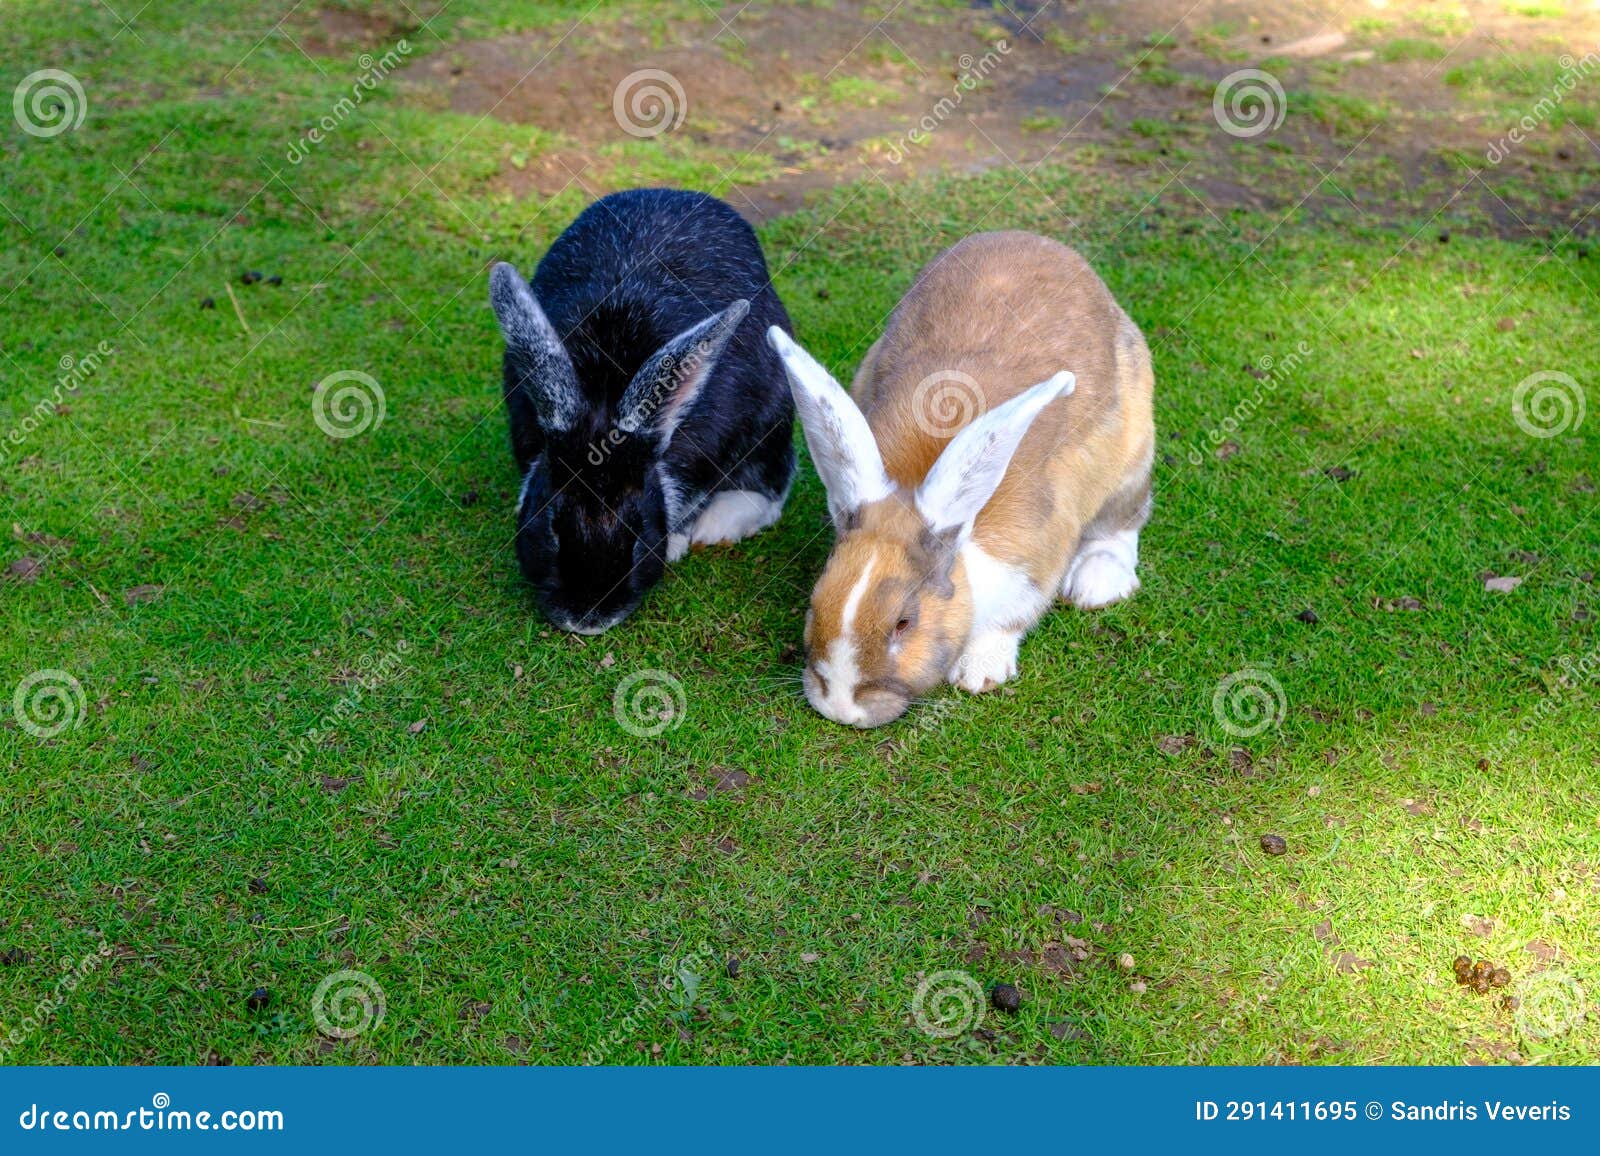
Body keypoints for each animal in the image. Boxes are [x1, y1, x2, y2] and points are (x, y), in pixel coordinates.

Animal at [489, 188, 796, 634]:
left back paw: (717, 525)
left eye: (636, 537)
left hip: (776, 415)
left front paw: (678, 542)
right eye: (553, 530)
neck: (604, 394)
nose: (587, 620)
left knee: (772, 485)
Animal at [767, 230, 1155, 727]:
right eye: (816, 603)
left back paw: (1097, 583)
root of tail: (1032, 239)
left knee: (1122, 523)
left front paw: (979, 672)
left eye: (903, 622)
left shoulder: (1036, 556)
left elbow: (1014, 616)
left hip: (1133, 458)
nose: (841, 707)